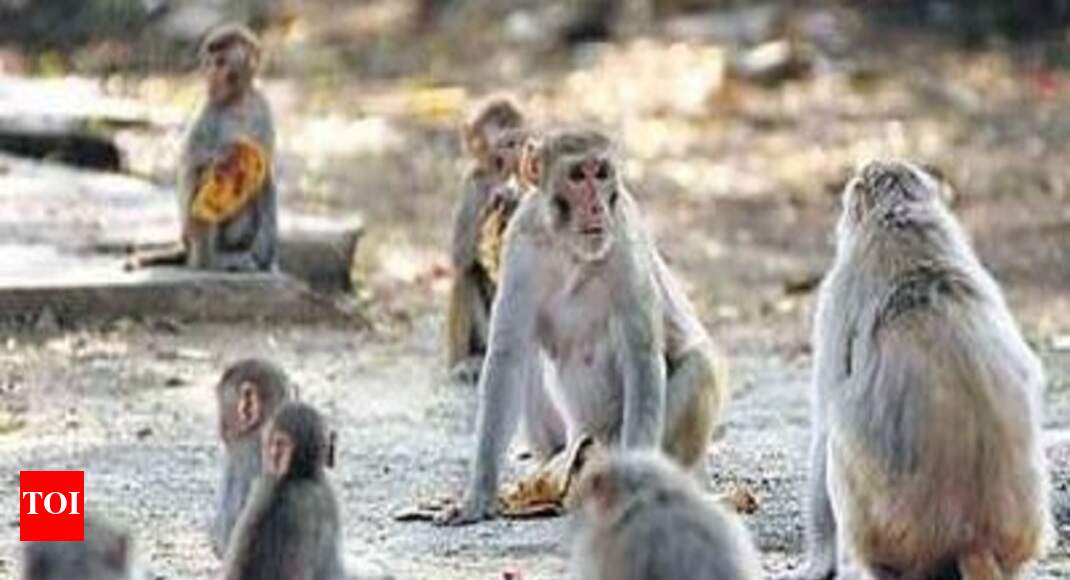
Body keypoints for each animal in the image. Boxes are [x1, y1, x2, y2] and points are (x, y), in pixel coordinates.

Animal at [127, 23, 277, 272]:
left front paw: (267, 255)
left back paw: (239, 253)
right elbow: (192, 166)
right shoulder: (208, 112)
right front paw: (227, 155)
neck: (237, 102)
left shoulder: (262, 106)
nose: (210, 77)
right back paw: (210, 262)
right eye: (209, 63)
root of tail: (187, 247)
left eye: (220, 63)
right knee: (205, 186)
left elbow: (266, 170)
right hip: (191, 235)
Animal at [436, 128, 728, 525]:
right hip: (571, 439)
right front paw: (479, 495)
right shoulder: (521, 243)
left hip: (615, 441)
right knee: (531, 361)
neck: (569, 249)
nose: (596, 207)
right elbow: (508, 357)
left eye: (601, 173)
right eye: (577, 176)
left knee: (699, 366)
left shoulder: (623, 241)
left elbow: (641, 356)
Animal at [446, 96, 528, 382]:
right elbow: (459, 256)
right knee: (465, 275)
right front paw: (499, 197)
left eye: (520, 141)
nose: (518, 157)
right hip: (485, 336)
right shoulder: (471, 185)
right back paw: (463, 362)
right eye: (506, 145)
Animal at [796, 160, 1051, 580]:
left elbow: (823, 422)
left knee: (836, 441)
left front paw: (818, 562)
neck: (901, 224)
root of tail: (972, 539)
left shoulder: (835, 294)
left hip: (890, 530)